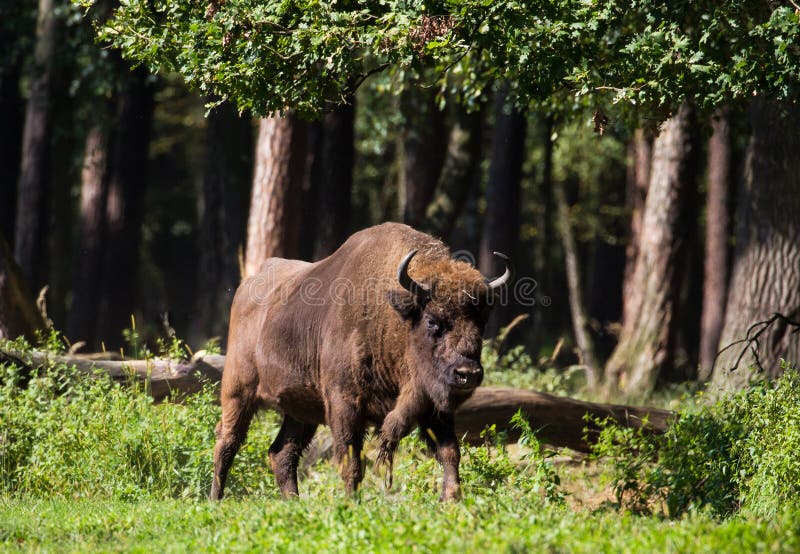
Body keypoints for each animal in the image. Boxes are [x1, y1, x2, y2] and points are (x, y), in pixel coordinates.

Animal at [209, 222, 511, 501]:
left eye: (481, 322)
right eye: (432, 321)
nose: (468, 374)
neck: (393, 319)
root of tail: (246, 286)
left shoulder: (434, 411)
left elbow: (450, 454)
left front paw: (452, 501)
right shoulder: (345, 404)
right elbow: (351, 463)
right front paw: (351, 504)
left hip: (301, 410)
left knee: (281, 453)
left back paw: (293, 501)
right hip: (238, 391)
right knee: (227, 442)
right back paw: (215, 500)